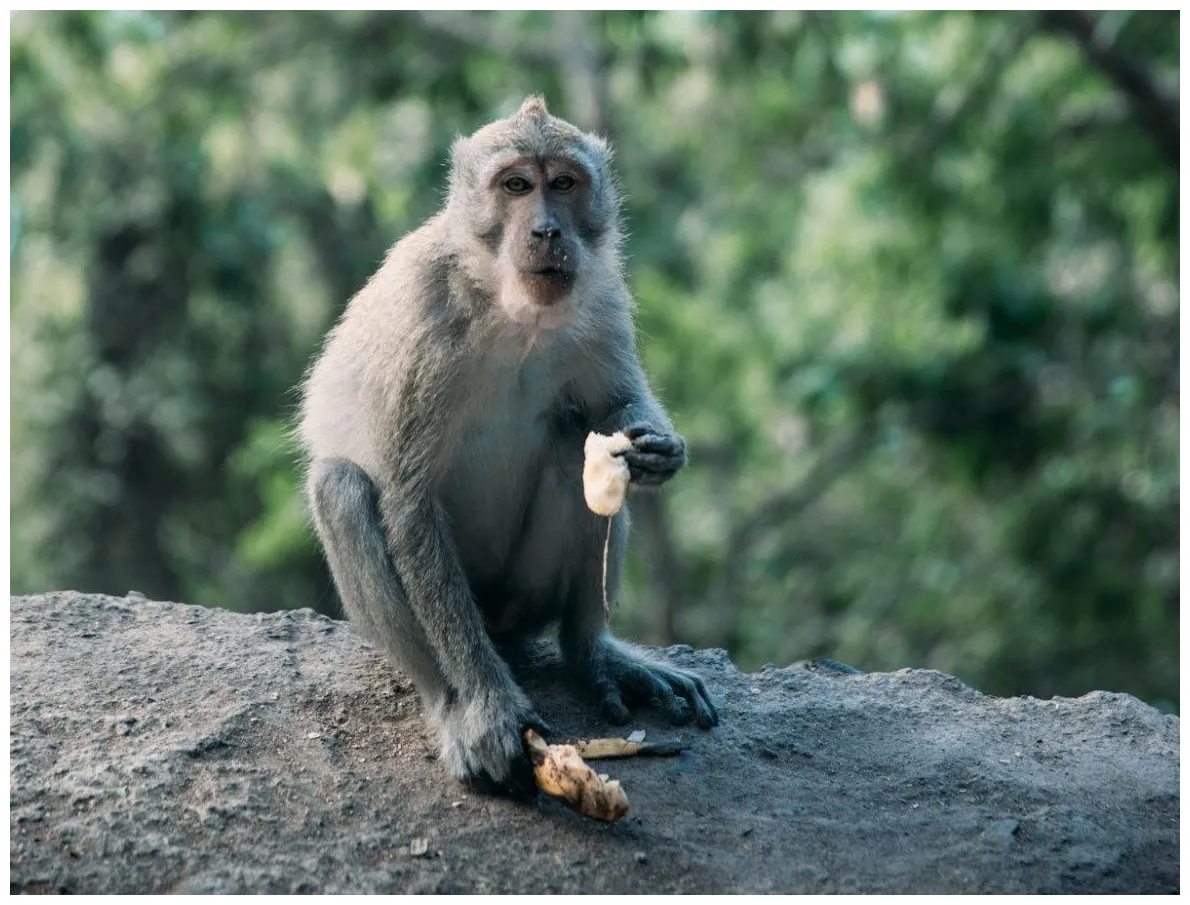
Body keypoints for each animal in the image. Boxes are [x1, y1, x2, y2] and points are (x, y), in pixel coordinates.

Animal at [297, 96, 718, 796]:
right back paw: (450, 703)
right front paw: (488, 706)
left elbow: (611, 410)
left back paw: (593, 652)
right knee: (342, 487)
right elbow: (409, 507)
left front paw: (660, 450)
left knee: (574, 443)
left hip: (526, 597)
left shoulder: (604, 295)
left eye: (565, 184)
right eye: (516, 186)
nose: (547, 231)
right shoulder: (423, 318)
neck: (511, 306)